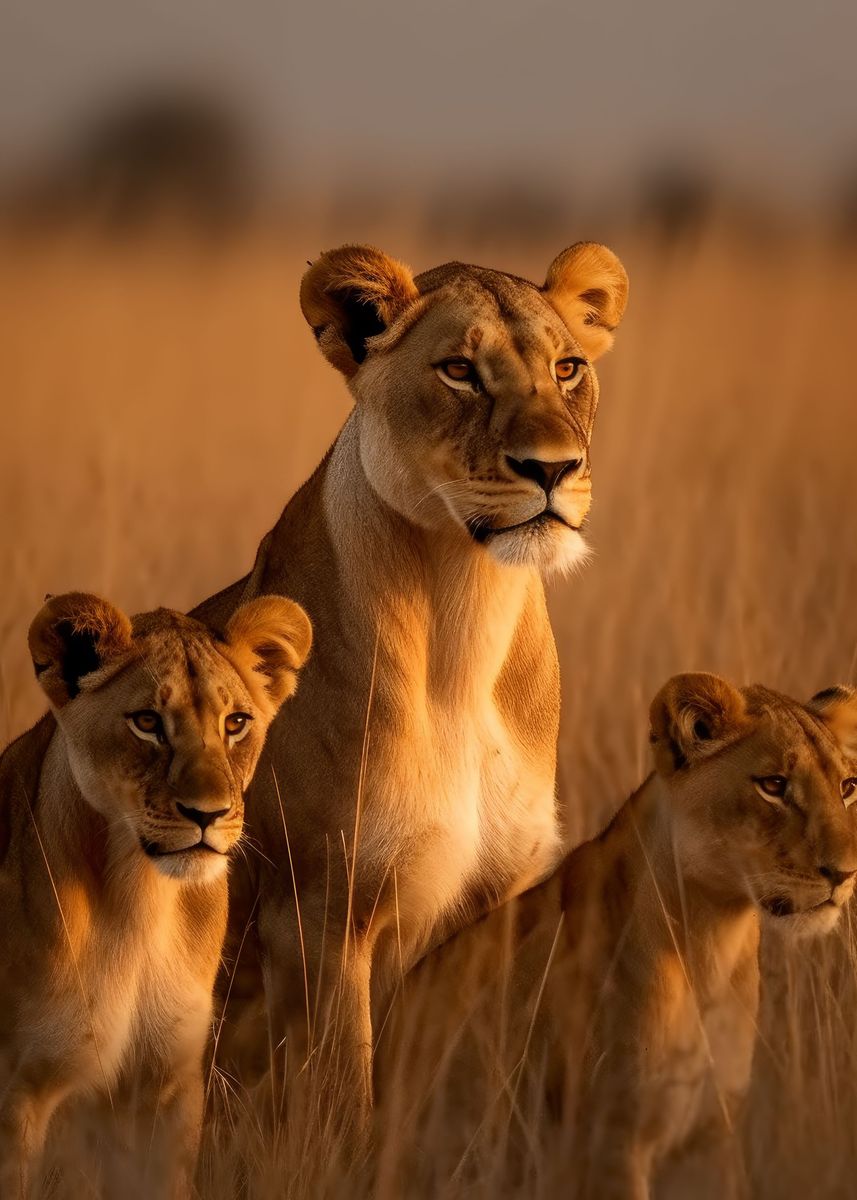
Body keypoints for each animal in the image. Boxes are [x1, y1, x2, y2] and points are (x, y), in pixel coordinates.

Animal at [0, 590, 311, 1198]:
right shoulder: (16, 1090)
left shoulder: (166, 1086)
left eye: (236, 723)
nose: (207, 814)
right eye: (147, 722)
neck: (138, 902)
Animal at [191, 241, 629, 1127]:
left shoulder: (498, 904)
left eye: (566, 367)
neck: (465, 613)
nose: (554, 469)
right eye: (459, 370)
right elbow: (344, 1099)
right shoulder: (321, 914)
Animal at [374, 674, 857, 1199]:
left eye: (847, 787)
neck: (713, 940)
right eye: (773, 786)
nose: (845, 873)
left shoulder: (711, 1136)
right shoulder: (613, 1139)